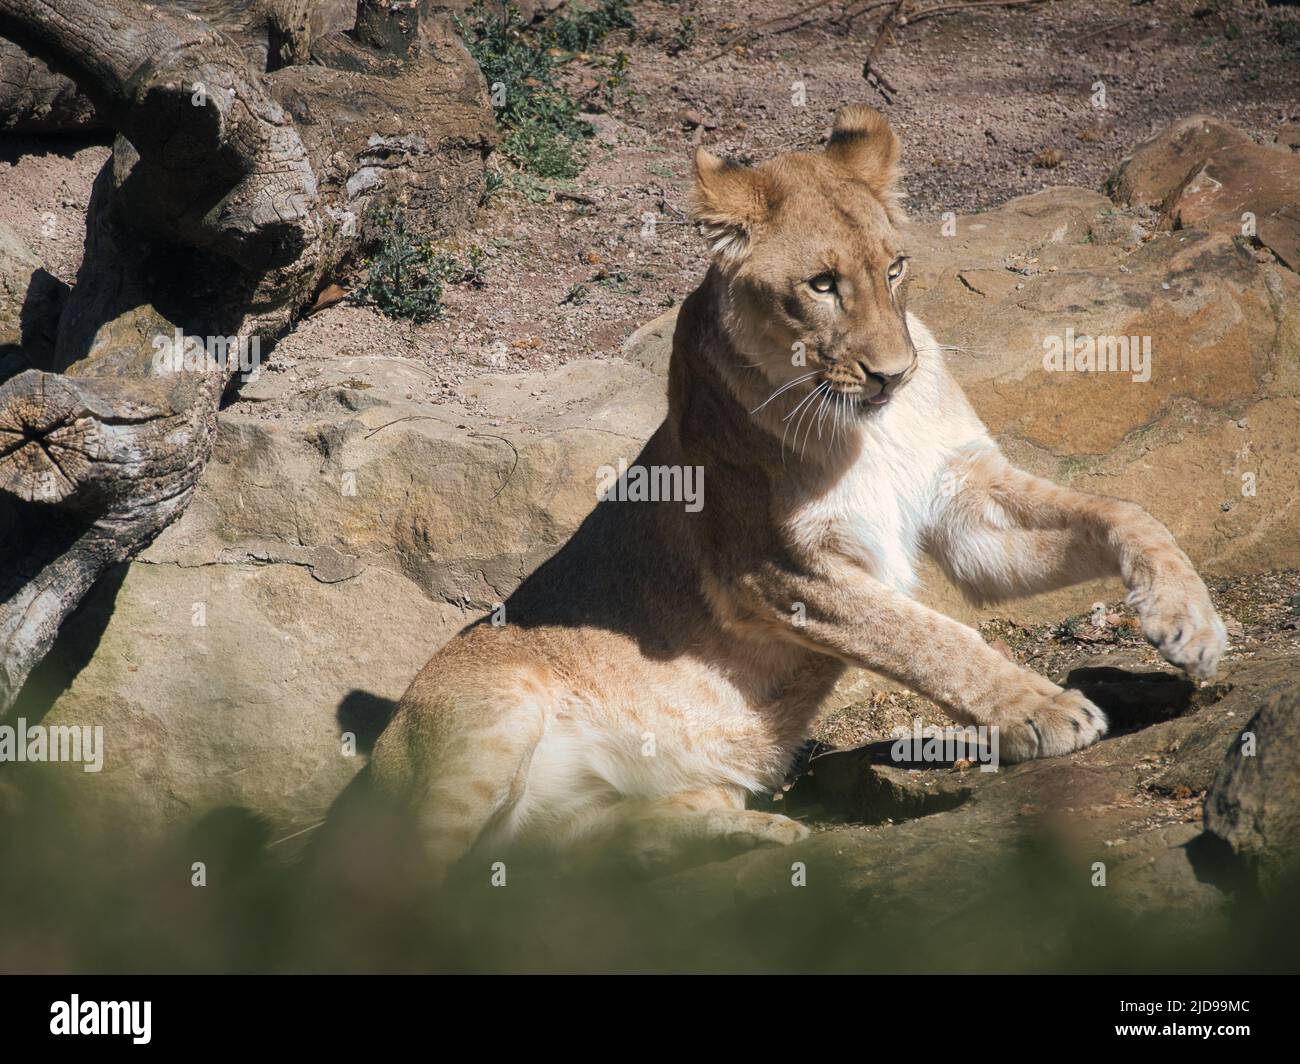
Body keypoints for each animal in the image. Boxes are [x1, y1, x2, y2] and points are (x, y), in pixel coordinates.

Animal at [368, 106, 1227, 878]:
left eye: (894, 268)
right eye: (820, 285)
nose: (893, 375)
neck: (869, 427)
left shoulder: (965, 506)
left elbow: (1124, 509)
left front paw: (1189, 621)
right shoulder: (776, 569)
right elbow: (932, 637)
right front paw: (1044, 712)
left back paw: (739, 829)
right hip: (490, 722)